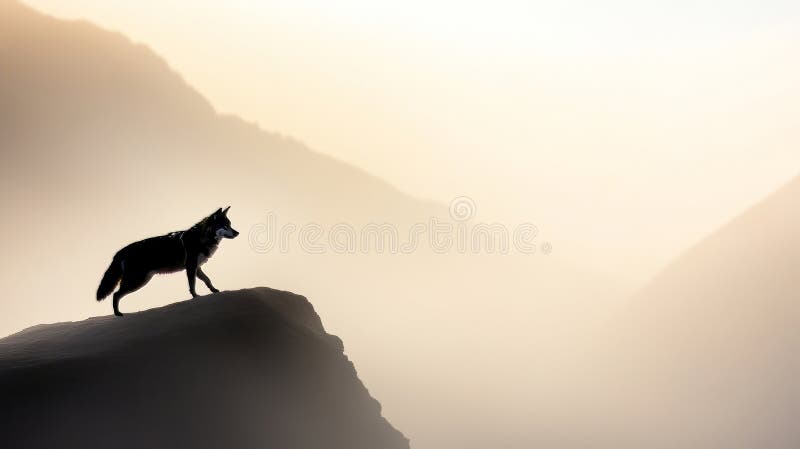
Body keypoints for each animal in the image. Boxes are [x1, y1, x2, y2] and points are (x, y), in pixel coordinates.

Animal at [97, 207, 239, 316]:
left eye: (230, 225)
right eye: (225, 226)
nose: (237, 233)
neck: (201, 237)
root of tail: (120, 251)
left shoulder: (196, 268)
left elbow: (207, 280)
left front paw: (214, 291)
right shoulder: (191, 267)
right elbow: (192, 285)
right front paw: (196, 297)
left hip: (140, 281)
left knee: (116, 294)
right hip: (137, 282)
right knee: (116, 294)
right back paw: (117, 314)